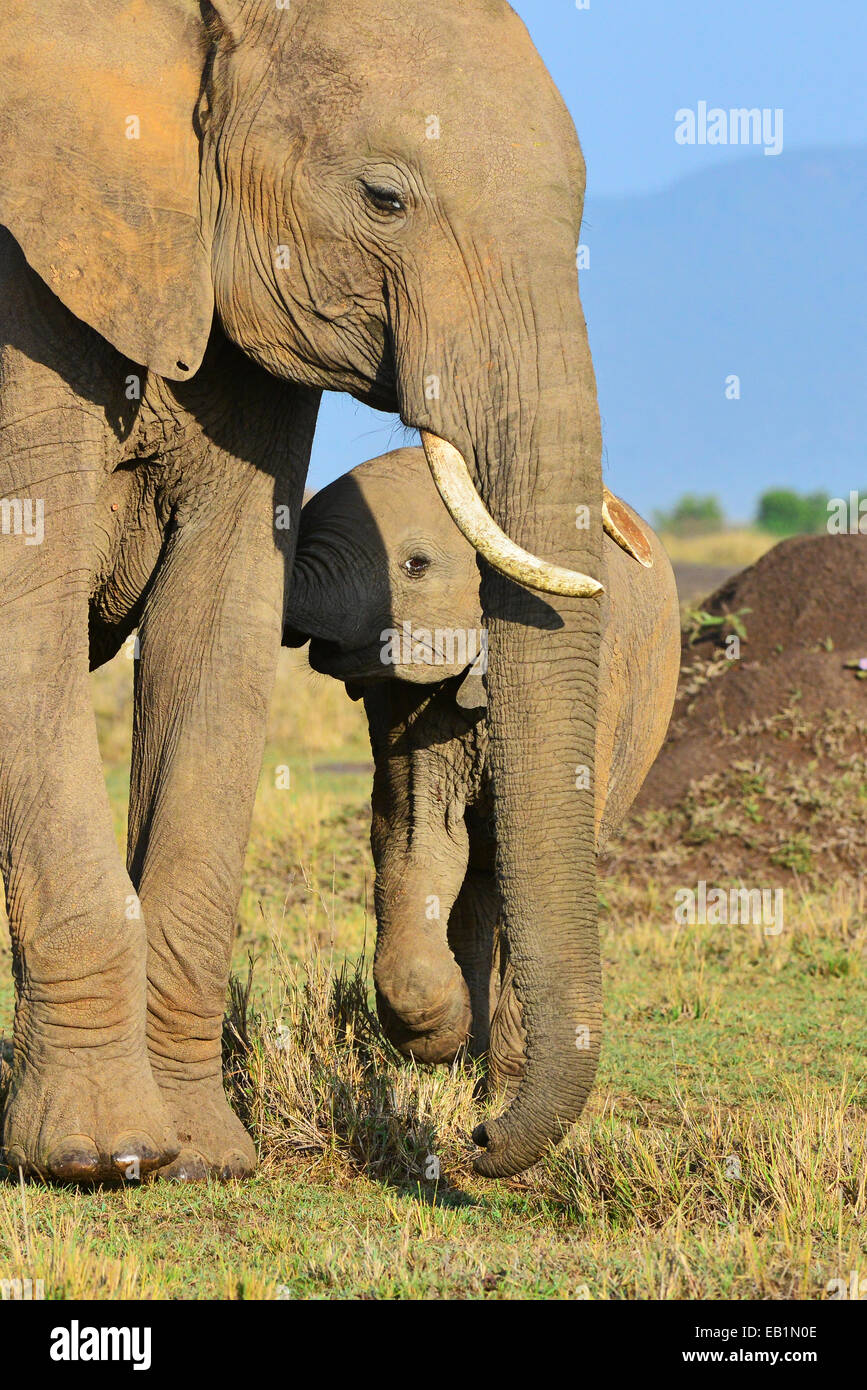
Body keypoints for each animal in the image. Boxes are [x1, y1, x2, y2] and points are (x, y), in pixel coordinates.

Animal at [1, 0, 606, 1183]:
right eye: (384, 199)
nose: (473, 1137)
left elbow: (222, 624)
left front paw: (200, 1157)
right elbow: (22, 608)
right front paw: (97, 1158)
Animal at [285, 448, 681, 1093]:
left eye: (415, 565)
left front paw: (504, 1092)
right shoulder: (406, 706)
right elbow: (422, 840)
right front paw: (440, 1045)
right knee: (475, 884)